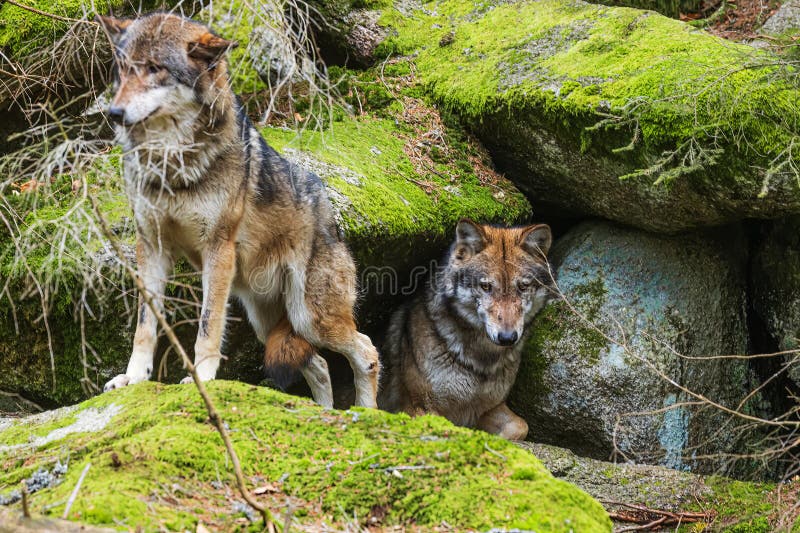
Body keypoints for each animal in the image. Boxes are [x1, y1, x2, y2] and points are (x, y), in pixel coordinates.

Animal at [96, 13, 380, 407]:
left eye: (155, 68)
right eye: (123, 70)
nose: (114, 113)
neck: (171, 163)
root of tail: (329, 211)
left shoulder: (218, 249)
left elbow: (208, 324)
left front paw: (202, 377)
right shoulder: (150, 246)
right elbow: (145, 324)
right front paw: (133, 377)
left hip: (310, 316)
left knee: (366, 350)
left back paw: (366, 412)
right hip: (269, 323)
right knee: (321, 365)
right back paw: (325, 411)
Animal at [379, 220, 553, 439]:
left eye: (522, 287)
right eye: (486, 287)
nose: (507, 337)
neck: (480, 360)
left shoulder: (489, 407)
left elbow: (521, 425)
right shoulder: (419, 407)